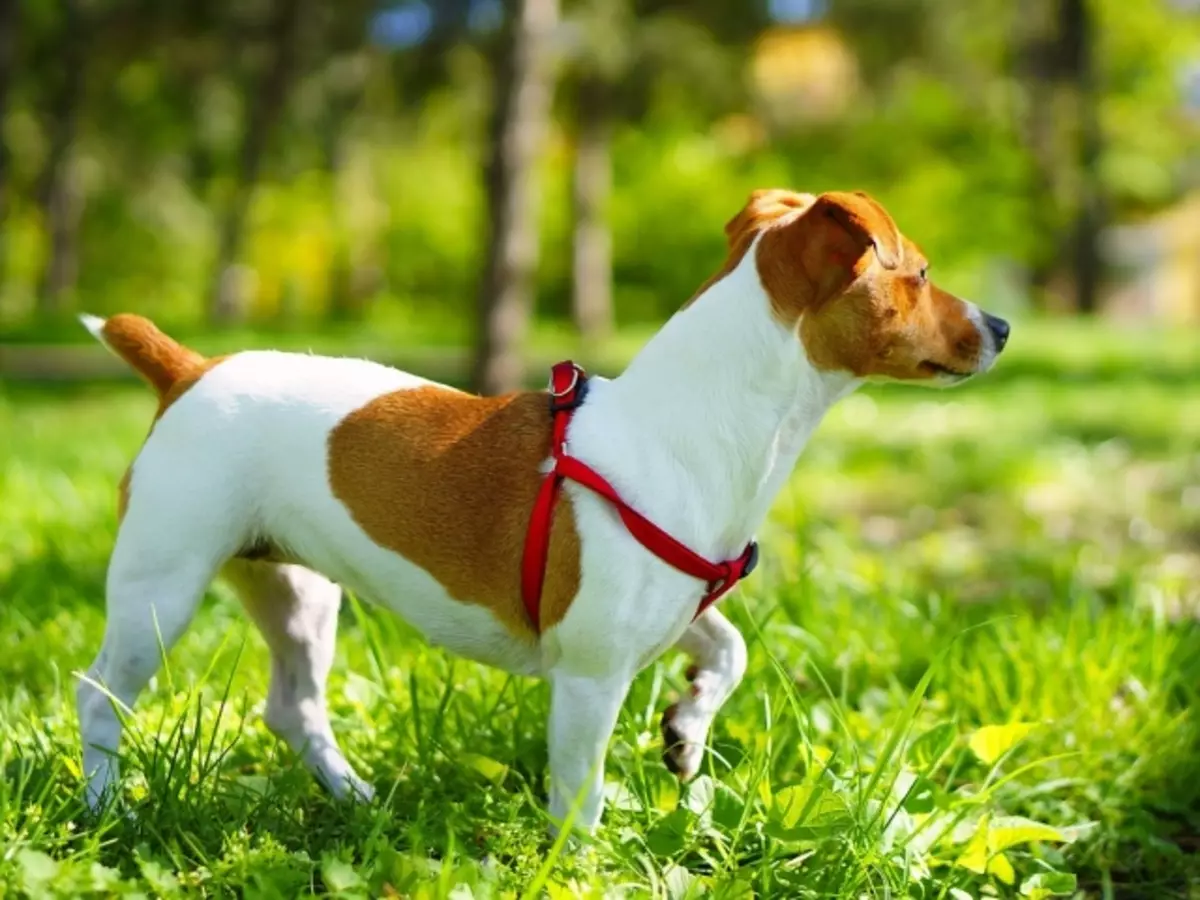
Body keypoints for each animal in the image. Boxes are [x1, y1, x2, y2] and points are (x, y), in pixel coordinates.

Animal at [75, 188, 1008, 830]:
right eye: (921, 273)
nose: (1001, 324)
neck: (692, 425)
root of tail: (189, 369)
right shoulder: (590, 674)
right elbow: (580, 795)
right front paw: (582, 862)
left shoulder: (673, 605)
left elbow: (731, 648)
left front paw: (687, 728)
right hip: (162, 585)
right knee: (101, 695)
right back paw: (106, 809)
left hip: (298, 591)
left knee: (293, 705)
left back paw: (355, 797)